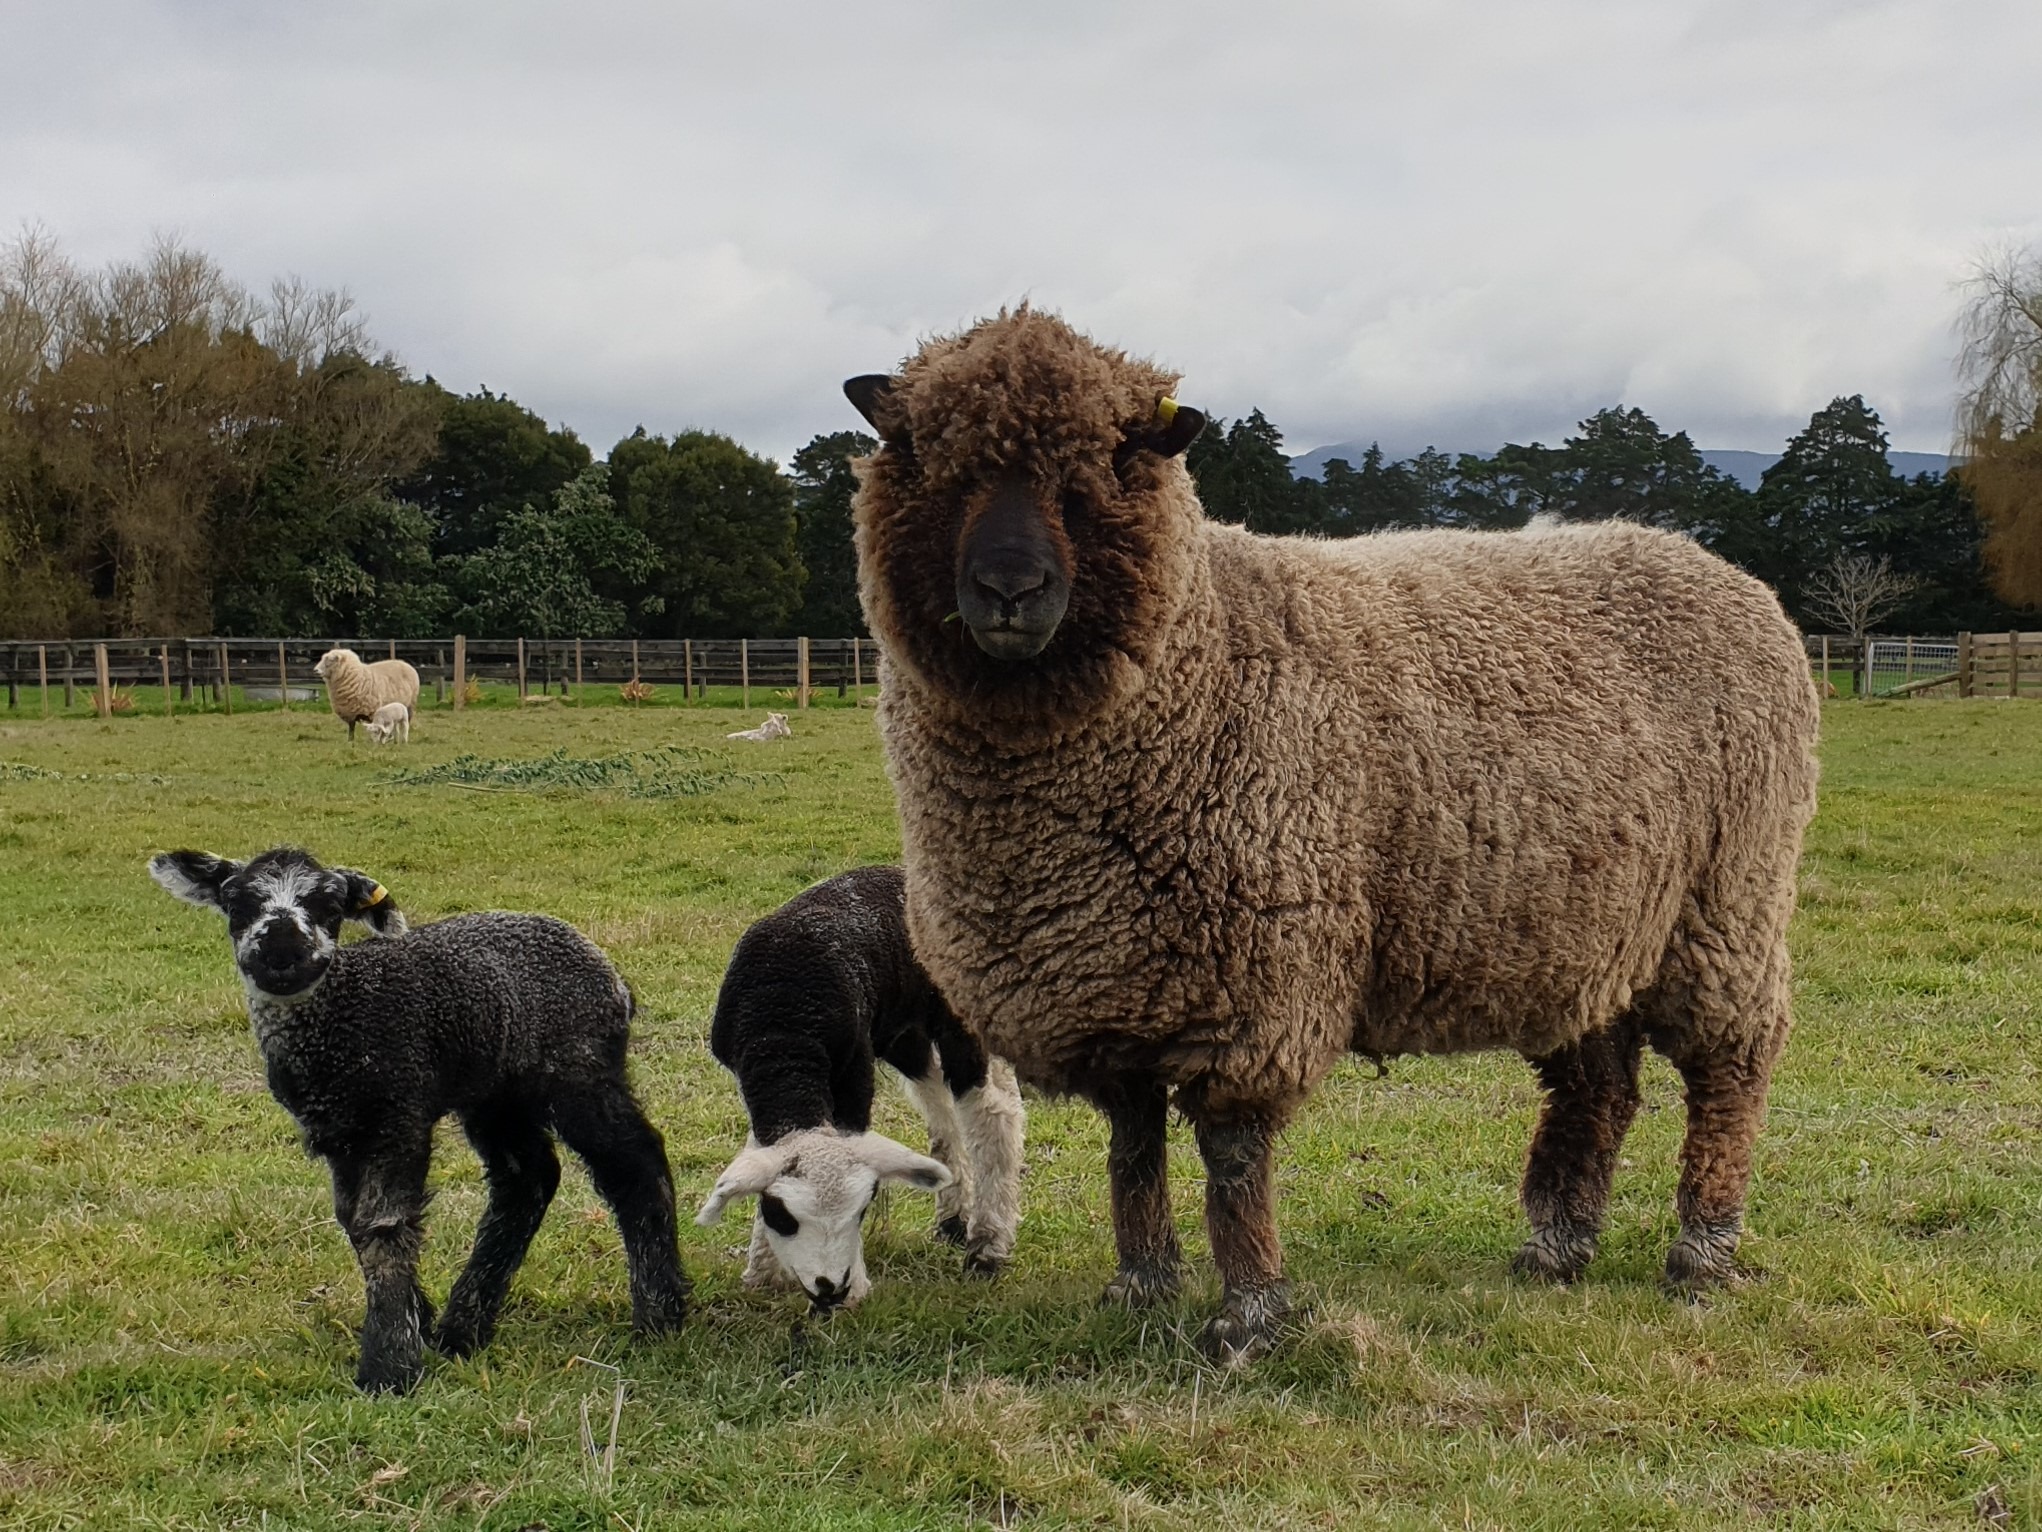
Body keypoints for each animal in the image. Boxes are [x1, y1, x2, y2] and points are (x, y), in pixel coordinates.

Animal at [148, 846, 690, 1392]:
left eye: (330, 905)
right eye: (236, 902)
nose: (282, 950)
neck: (342, 1013)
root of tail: (612, 976)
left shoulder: (397, 1112)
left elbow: (382, 1224)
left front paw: (389, 1366)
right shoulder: (340, 1132)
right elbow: (352, 1222)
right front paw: (414, 1320)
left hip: (578, 1066)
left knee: (635, 1163)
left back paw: (659, 1314)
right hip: (497, 1092)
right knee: (527, 1179)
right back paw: (463, 1327)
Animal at [694, 866, 1025, 1311]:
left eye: (863, 1209)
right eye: (781, 1213)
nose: (830, 1289)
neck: (784, 1024)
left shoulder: (854, 1068)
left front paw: (855, 1289)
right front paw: (763, 1270)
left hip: (955, 1016)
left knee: (990, 1116)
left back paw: (987, 1246)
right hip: (903, 1032)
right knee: (942, 1103)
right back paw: (953, 1219)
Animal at [843, 306, 1821, 1361]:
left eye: (1111, 460)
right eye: (924, 455)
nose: (1010, 590)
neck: (1202, 649)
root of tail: (1718, 568)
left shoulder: (1251, 971)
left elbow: (1232, 1157)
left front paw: (1249, 1316)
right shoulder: (1121, 984)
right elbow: (1132, 1145)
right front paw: (1139, 1287)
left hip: (1728, 902)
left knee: (1731, 1066)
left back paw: (1702, 1252)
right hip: (1584, 926)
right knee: (1597, 1085)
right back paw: (1556, 1249)